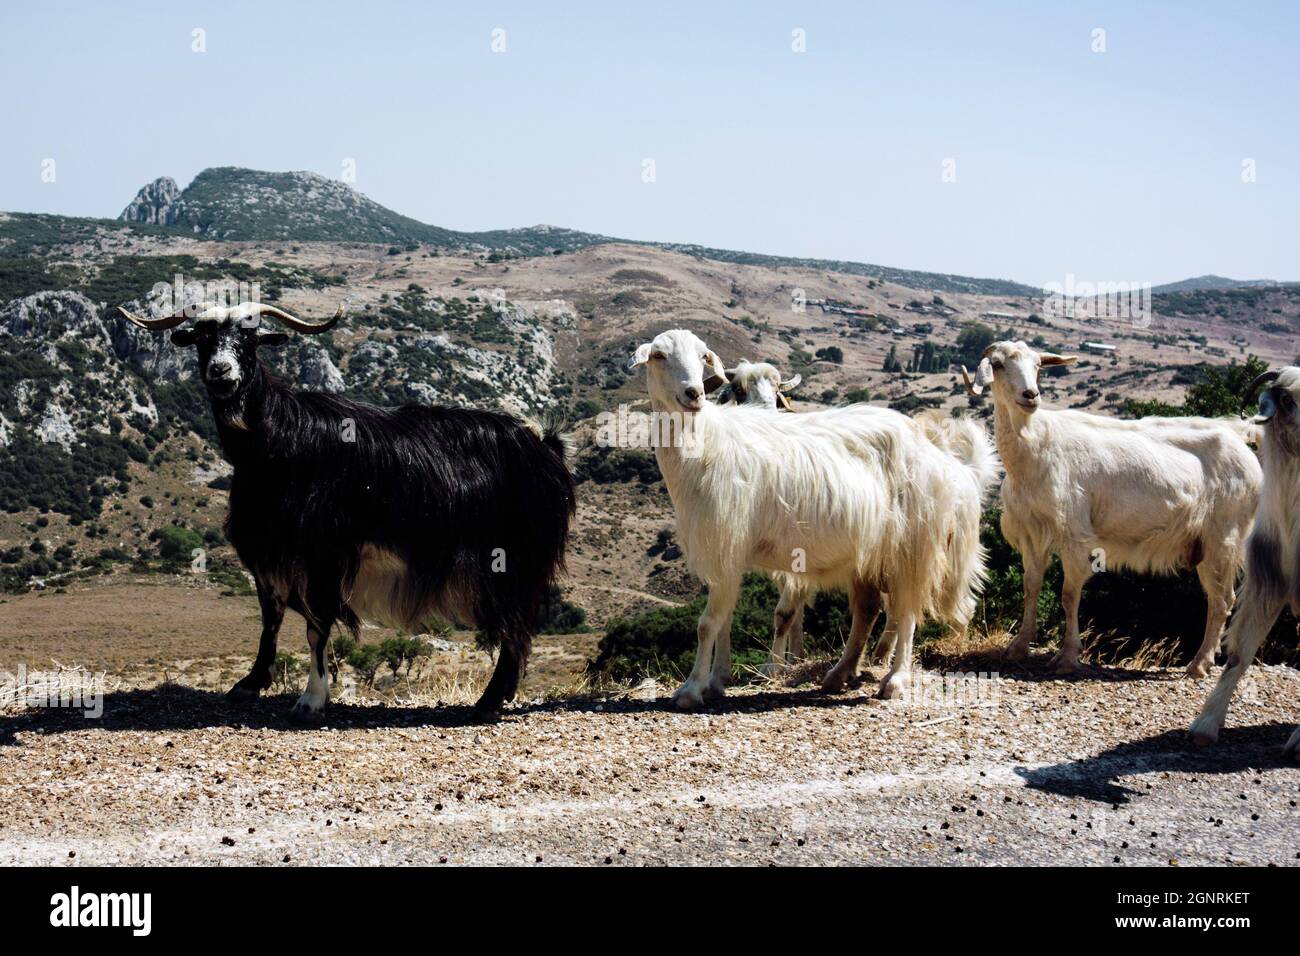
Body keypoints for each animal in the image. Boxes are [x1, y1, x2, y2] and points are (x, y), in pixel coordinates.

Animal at [120, 301, 575, 718]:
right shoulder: (268, 550)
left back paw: (488, 701)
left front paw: (311, 699)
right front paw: (250, 683)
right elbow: (271, 617)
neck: (279, 438)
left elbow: (316, 626)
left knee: (515, 627)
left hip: (515, 558)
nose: (221, 371)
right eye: (202, 338)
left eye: (250, 339)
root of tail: (544, 445)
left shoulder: (325, 551)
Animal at [627, 329, 997, 707]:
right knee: (869, 610)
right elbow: (724, 621)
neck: (706, 444)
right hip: (870, 554)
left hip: (913, 544)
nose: (694, 394)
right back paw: (839, 673)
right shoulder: (729, 553)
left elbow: (707, 624)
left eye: (703, 356)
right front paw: (717, 681)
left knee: (906, 611)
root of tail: (948, 462)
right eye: (658, 355)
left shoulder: (726, 545)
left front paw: (691, 689)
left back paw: (894, 680)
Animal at [962, 340, 1261, 676]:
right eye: (998, 365)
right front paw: (1018, 647)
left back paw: (1199, 665)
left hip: (1224, 537)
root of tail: (1241, 442)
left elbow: (1069, 595)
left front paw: (1067, 657)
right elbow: (1031, 586)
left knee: (1222, 601)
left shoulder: (1075, 533)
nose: (1030, 395)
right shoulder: (1032, 532)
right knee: (1218, 599)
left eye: (1038, 366)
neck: (1037, 446)